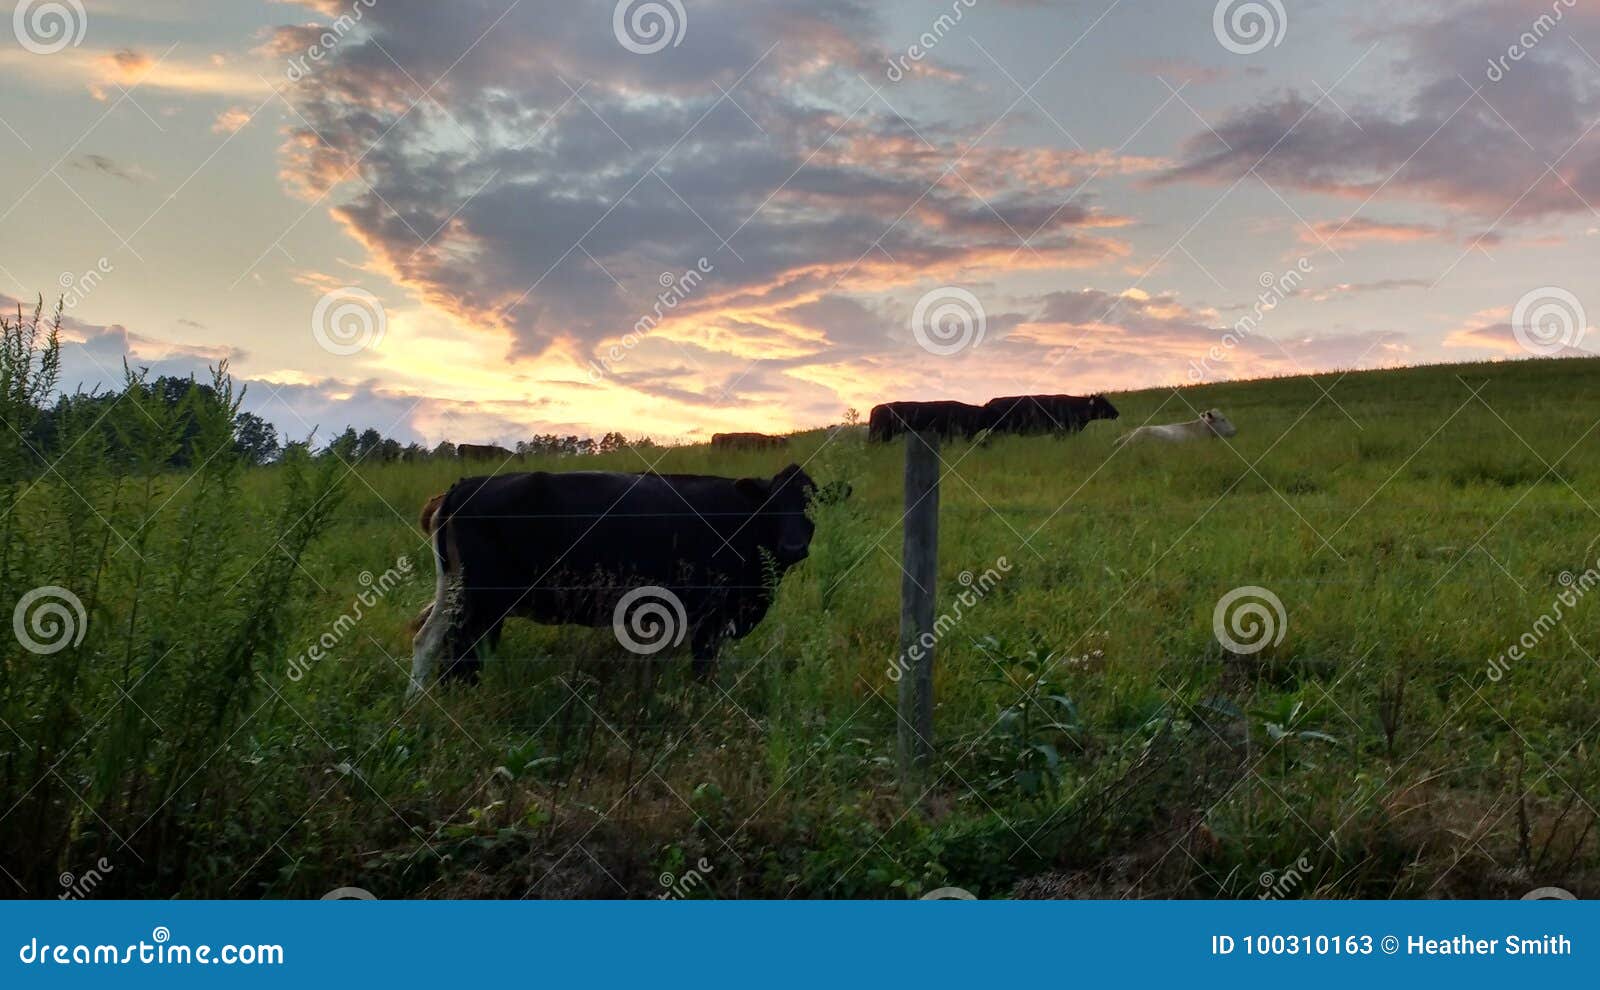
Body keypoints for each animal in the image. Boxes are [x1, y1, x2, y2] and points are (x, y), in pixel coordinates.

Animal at [407, 464, 831, 697]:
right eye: (773, 504)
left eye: (811, 504)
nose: (794, 547)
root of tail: (465, 483)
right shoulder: (709, 617)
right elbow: (702, 669)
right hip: (481, 598)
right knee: (457, 646)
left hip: (459, 592)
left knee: (428, 638)